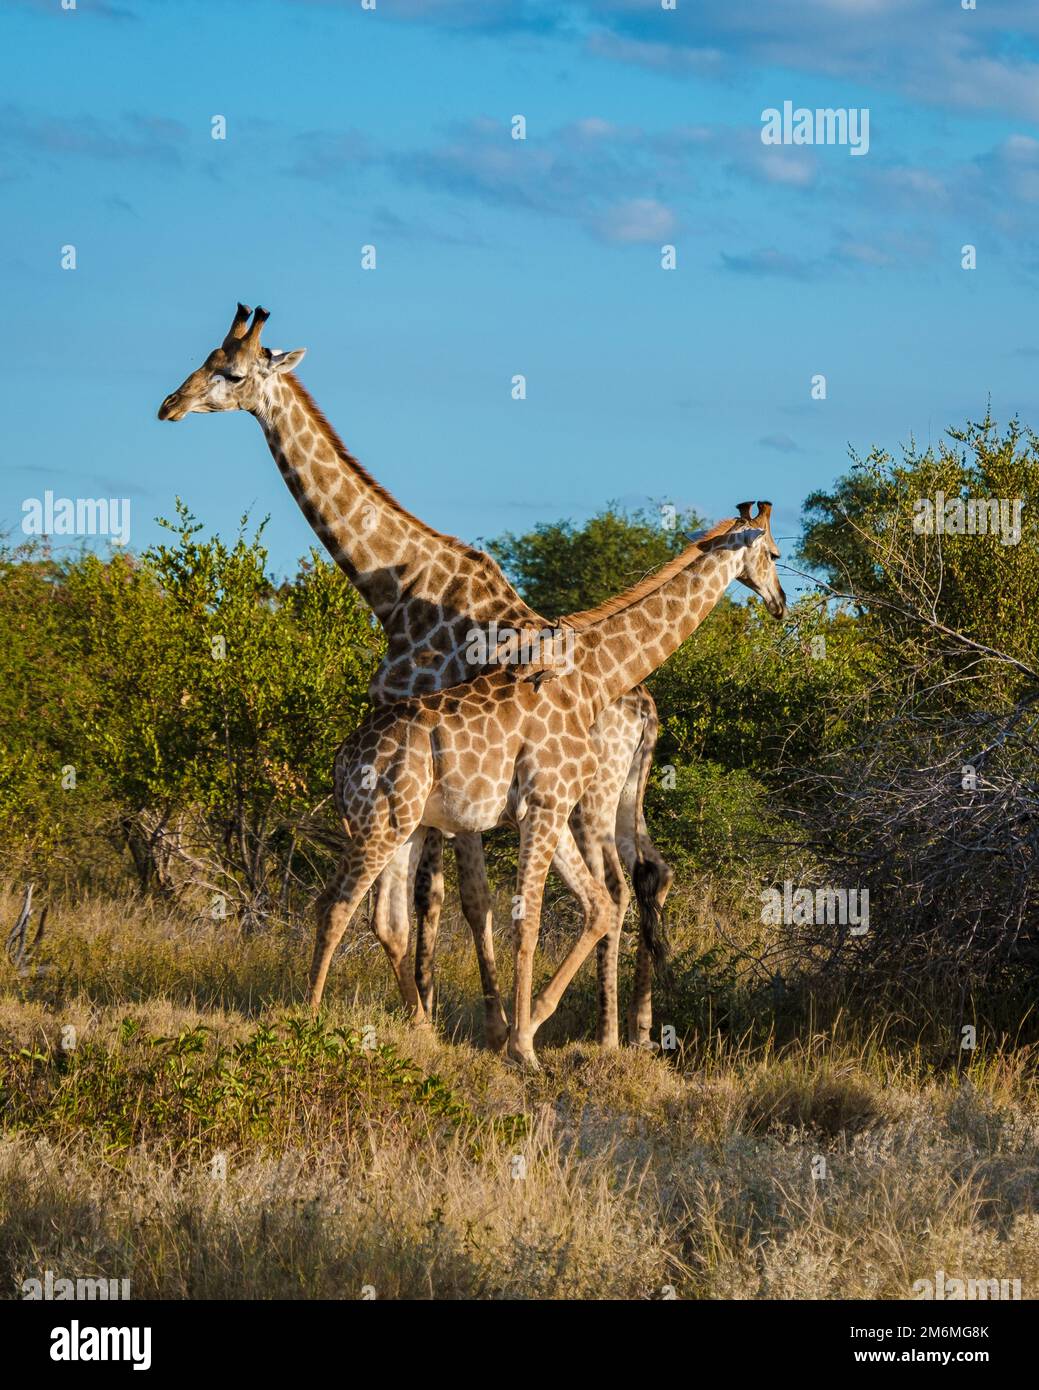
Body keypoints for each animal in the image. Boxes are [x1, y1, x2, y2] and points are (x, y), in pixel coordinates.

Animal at [157, 304, 673, 1047]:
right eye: (204, 358)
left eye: (231, 373)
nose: (170, 405)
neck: (395, 590)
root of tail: (645, 711)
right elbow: (439, 899)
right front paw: (441, 1012)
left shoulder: (436, 754)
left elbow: (448, 898)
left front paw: (465, 1017)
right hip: (626, 792)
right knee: (649, 874)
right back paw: (633, 1028)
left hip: (588, 797)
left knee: (616, 885)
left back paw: (599, 1029)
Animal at [310, 505, 788, 1069]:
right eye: (775, 554)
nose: (780, 603)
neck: (593, 677)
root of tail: (342, 760)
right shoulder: (544, 806)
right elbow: (528, 921)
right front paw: (521, 1044)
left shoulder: (550, 809)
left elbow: (595, 906)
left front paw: (530, 1025)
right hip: (380, 824)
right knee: (335, 905)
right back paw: (307, 1021)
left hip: (405, 826)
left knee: (386, 919)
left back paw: (424, 1033)